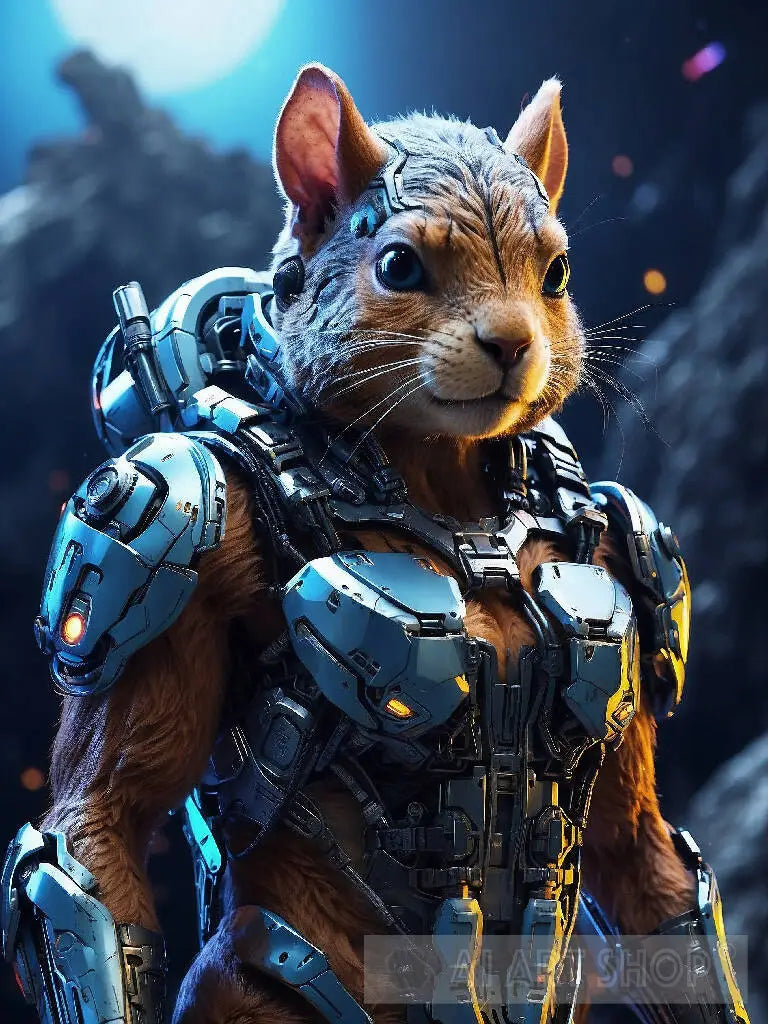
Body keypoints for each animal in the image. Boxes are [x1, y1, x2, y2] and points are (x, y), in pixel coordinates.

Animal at [40, 66, 696, 1023]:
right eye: (398, 267)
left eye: (557, 272)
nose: (513, 343)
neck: (436, 480)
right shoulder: (178, 505)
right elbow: (101, 822)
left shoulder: (634, 541)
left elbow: (643, 856)